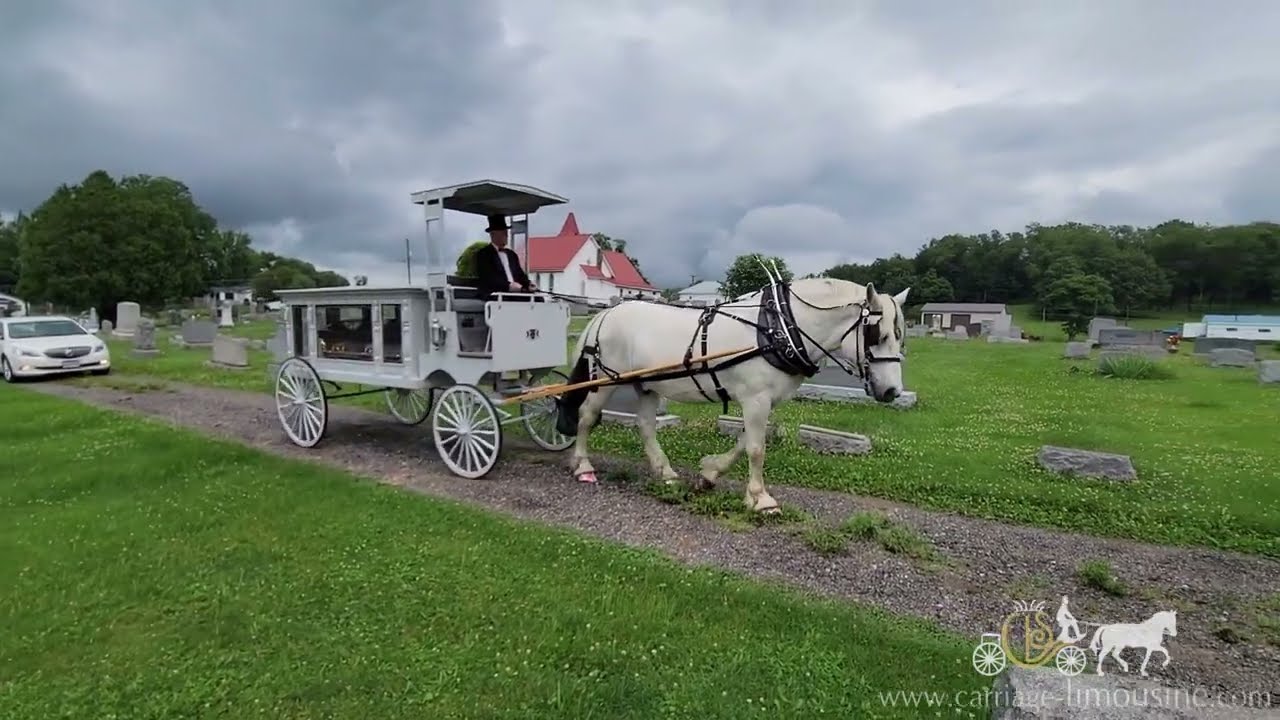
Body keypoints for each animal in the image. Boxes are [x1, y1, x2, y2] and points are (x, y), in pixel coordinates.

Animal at [554, 276, 909, 513]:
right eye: (877, 335)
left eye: (899, 338)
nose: (892, 391)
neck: (778, 329)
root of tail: (605, 314)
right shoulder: (755, 398)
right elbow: (756, 449)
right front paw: (760, 498)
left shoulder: (762, 401)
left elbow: (745, 442)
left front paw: (710, 473)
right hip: (606, 380)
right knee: (587, 416)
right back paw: (583, 465)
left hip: (648, 385)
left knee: (646, 427)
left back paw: (665, 472)